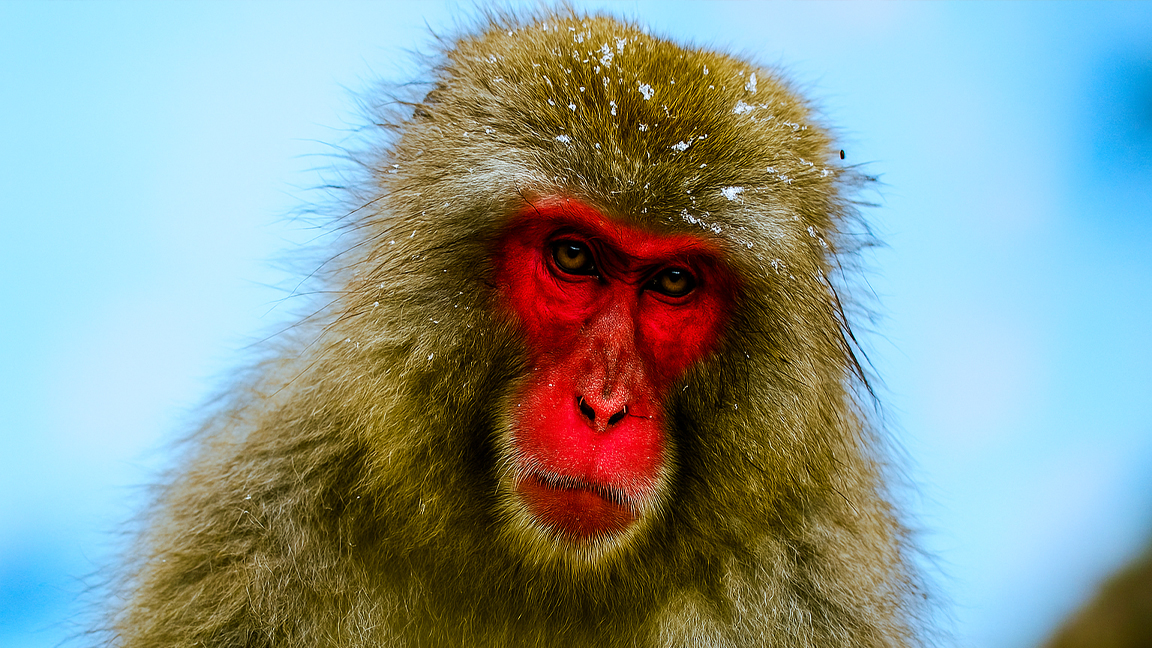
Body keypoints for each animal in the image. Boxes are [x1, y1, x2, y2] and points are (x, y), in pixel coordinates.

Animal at [105, 10, 926, 648]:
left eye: (673, 282)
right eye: (573, 256)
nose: (603, 407)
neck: (546, 578)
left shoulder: (809, 591)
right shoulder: (254, 537)